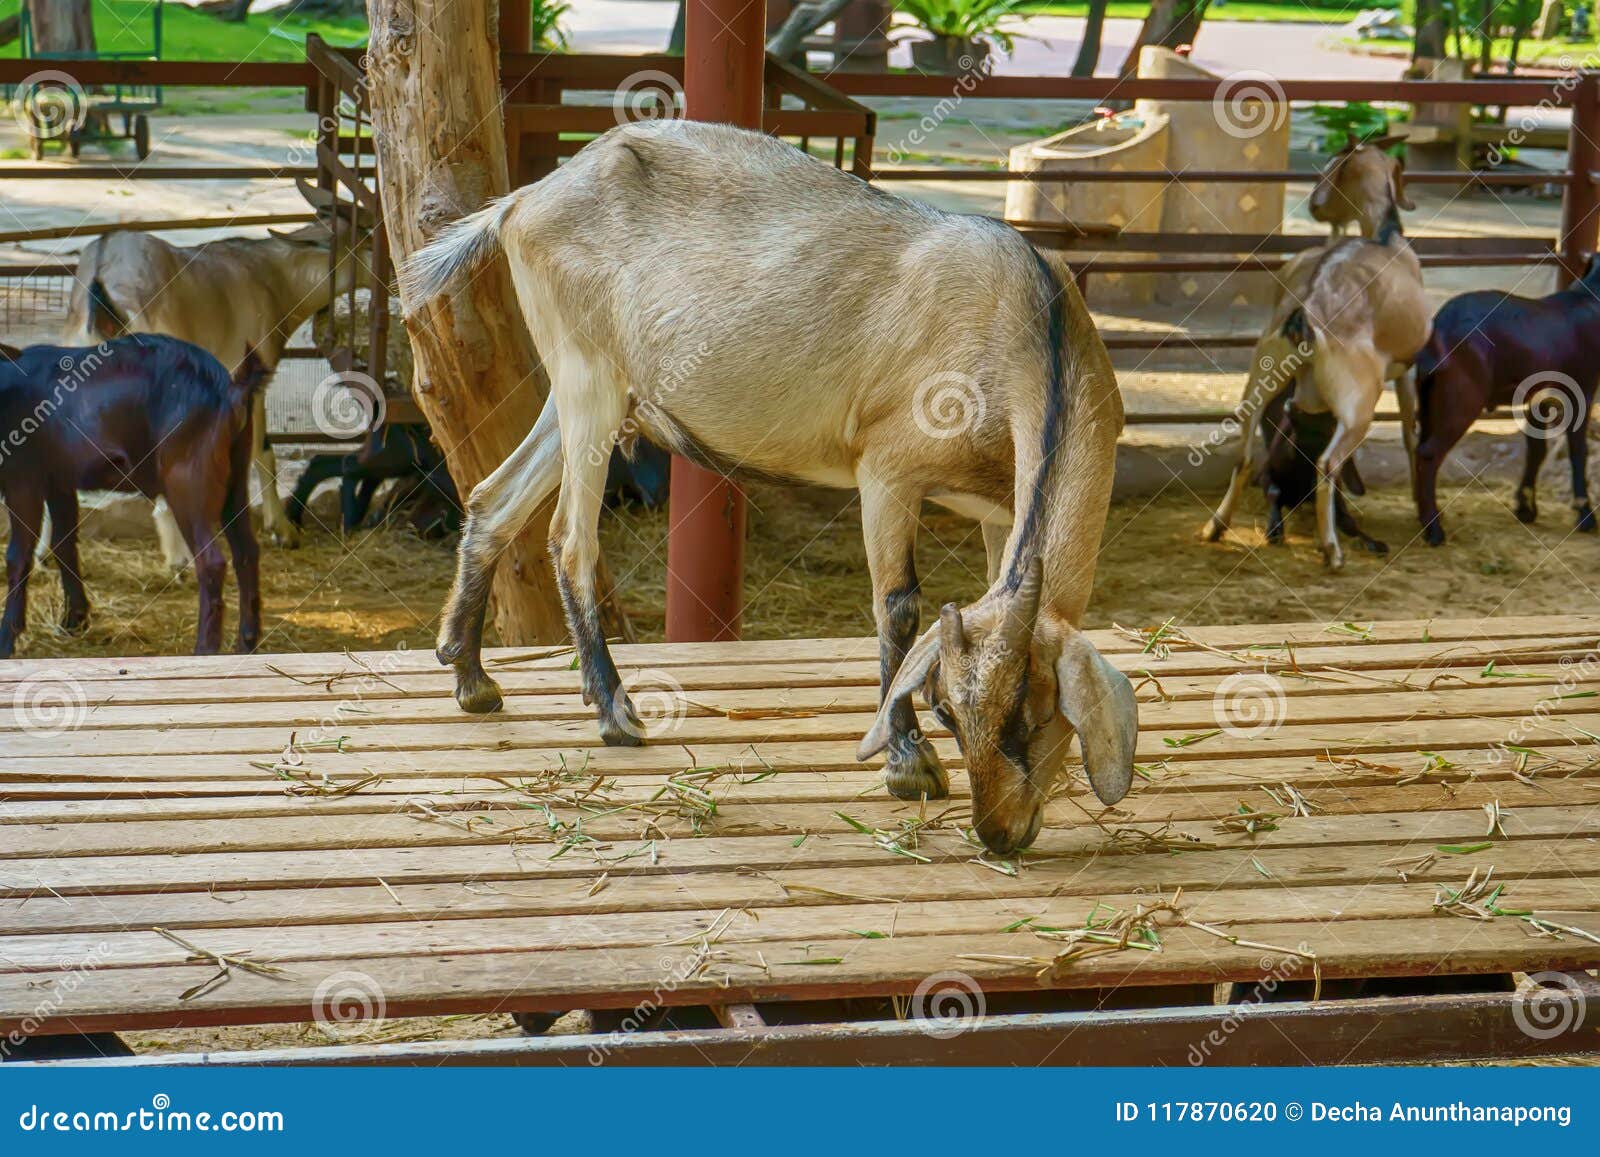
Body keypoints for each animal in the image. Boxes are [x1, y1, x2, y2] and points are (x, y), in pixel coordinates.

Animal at [0, 336, 267, 658]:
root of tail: (229, 389)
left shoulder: (22, 478)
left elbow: (18, 555)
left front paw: (6, 638)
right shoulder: (58, 482)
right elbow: (64, 545)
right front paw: (75, 620)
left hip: (190, 481)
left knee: (212, 562)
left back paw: (204, 649)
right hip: (236, 477)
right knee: (247, 552)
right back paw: (246, 642)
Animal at [61, 184, 365, 563]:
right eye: (369, 235)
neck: (274, 278)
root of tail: (100, 287)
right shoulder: (249, 377)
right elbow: (261, 450)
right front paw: (282, 530)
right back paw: (180, 557)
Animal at [401, 119, 1137, 856]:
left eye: (1037, 714)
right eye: (947, 712)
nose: (999, 831)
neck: (1021, 325)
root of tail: (520, 202)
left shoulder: (1000, 507)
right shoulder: (888, 467)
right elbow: (897, 604)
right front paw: (909, 764)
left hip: (583, 387)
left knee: (494, 498)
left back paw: (471, 678)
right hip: (590, 376)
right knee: (569, 537)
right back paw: (616, 712)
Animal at [1411, 257, 1600, 545]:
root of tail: (1438, 331)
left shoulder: (1539, 398)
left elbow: (1536, 449)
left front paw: (1526, 509)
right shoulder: (1582, 390)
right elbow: (1578, 451)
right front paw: (1586, 517)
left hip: (1430, 402)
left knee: (1419, 447)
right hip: (1460, 401)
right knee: (1429, 454)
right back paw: (1433, 530)